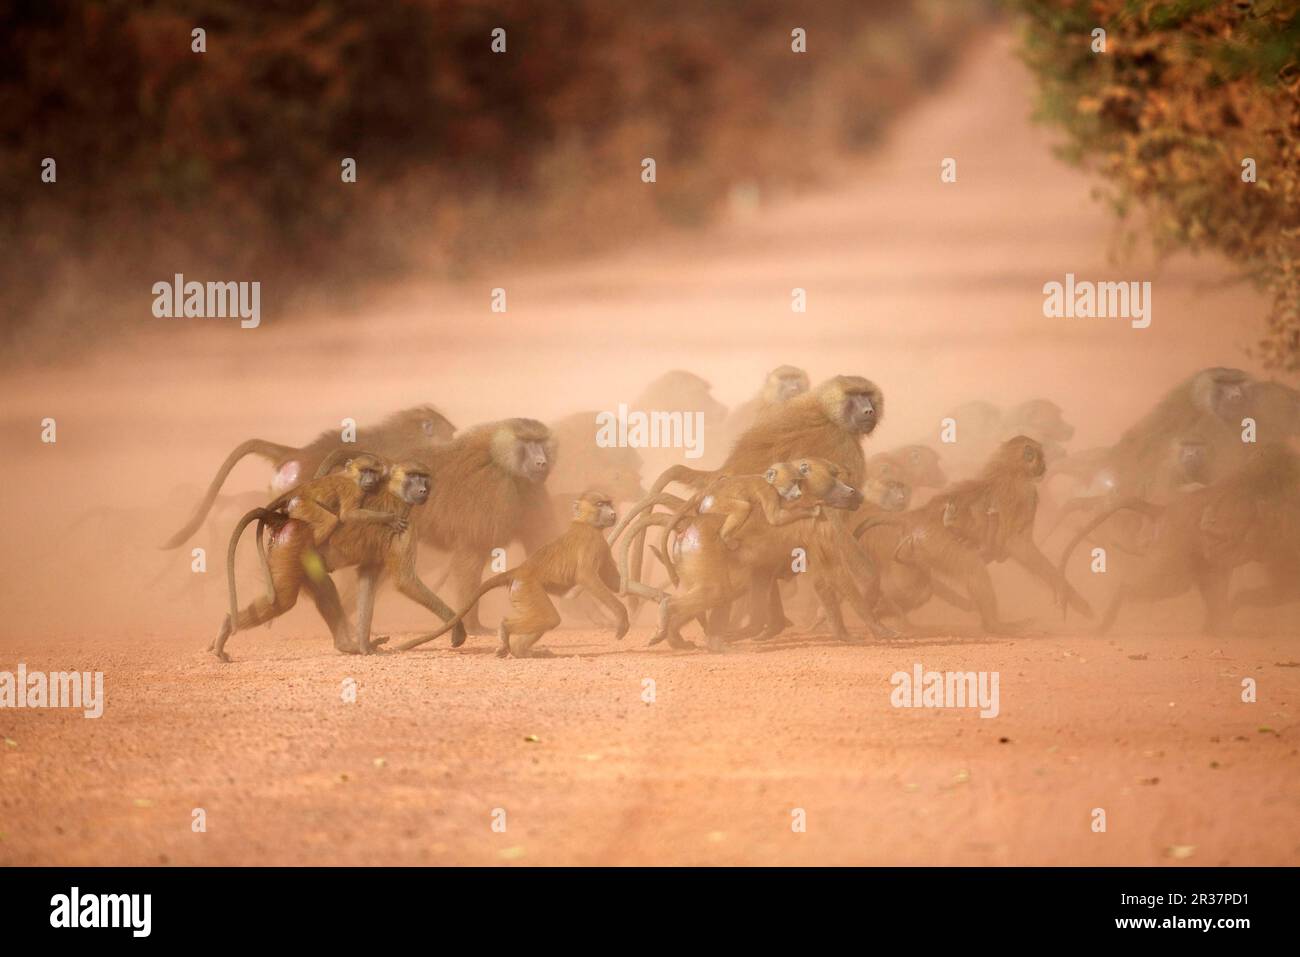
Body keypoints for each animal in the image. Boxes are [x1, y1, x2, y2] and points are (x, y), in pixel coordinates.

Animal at [397, 491, 627, 658]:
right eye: (600, 504)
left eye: (609, 503)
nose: (613, 514)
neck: (584, 523)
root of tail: (521, 569)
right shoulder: (593, 543)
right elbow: (587, 578)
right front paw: (622, 618)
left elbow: (613, 583)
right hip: (529, 587)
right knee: (548, 617)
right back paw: (507, 630)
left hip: (522, 591)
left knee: (542, 617)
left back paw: (520, 650)